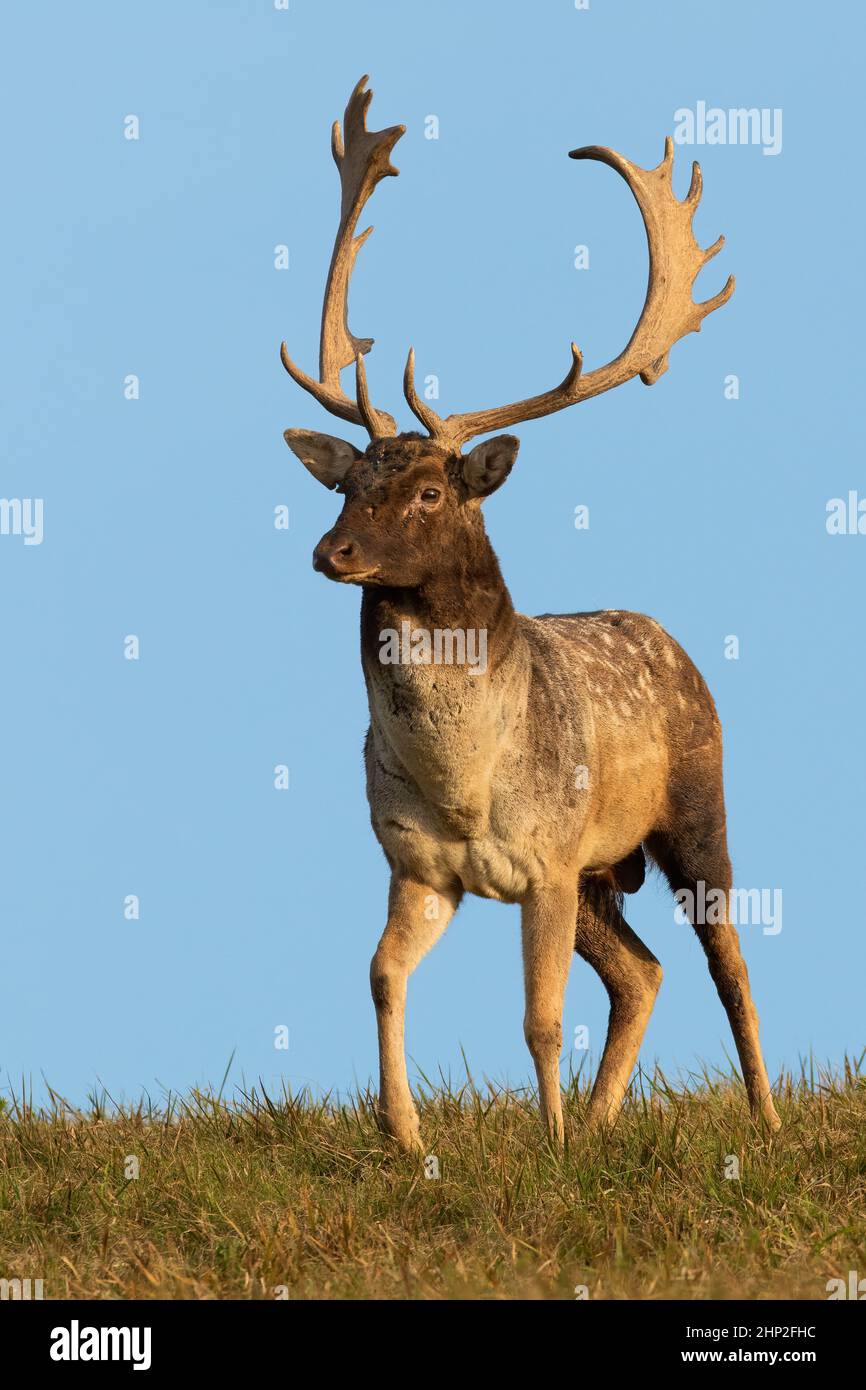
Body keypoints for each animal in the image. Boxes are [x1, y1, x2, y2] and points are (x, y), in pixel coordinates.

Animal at [280, 76, 781, 1150]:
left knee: (726, 956)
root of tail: (672, 640)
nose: (330, 552)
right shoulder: (418, 863)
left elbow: (541, 1015)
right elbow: (381, 974)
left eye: (432, 490)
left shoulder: (548, 857)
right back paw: (600, 1122)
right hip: (603, 873)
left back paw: (760, 1115)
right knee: (643, 970)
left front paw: (545, 1149)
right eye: (347, 484)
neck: (465, 780)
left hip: (695, 806)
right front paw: (405, 1135)